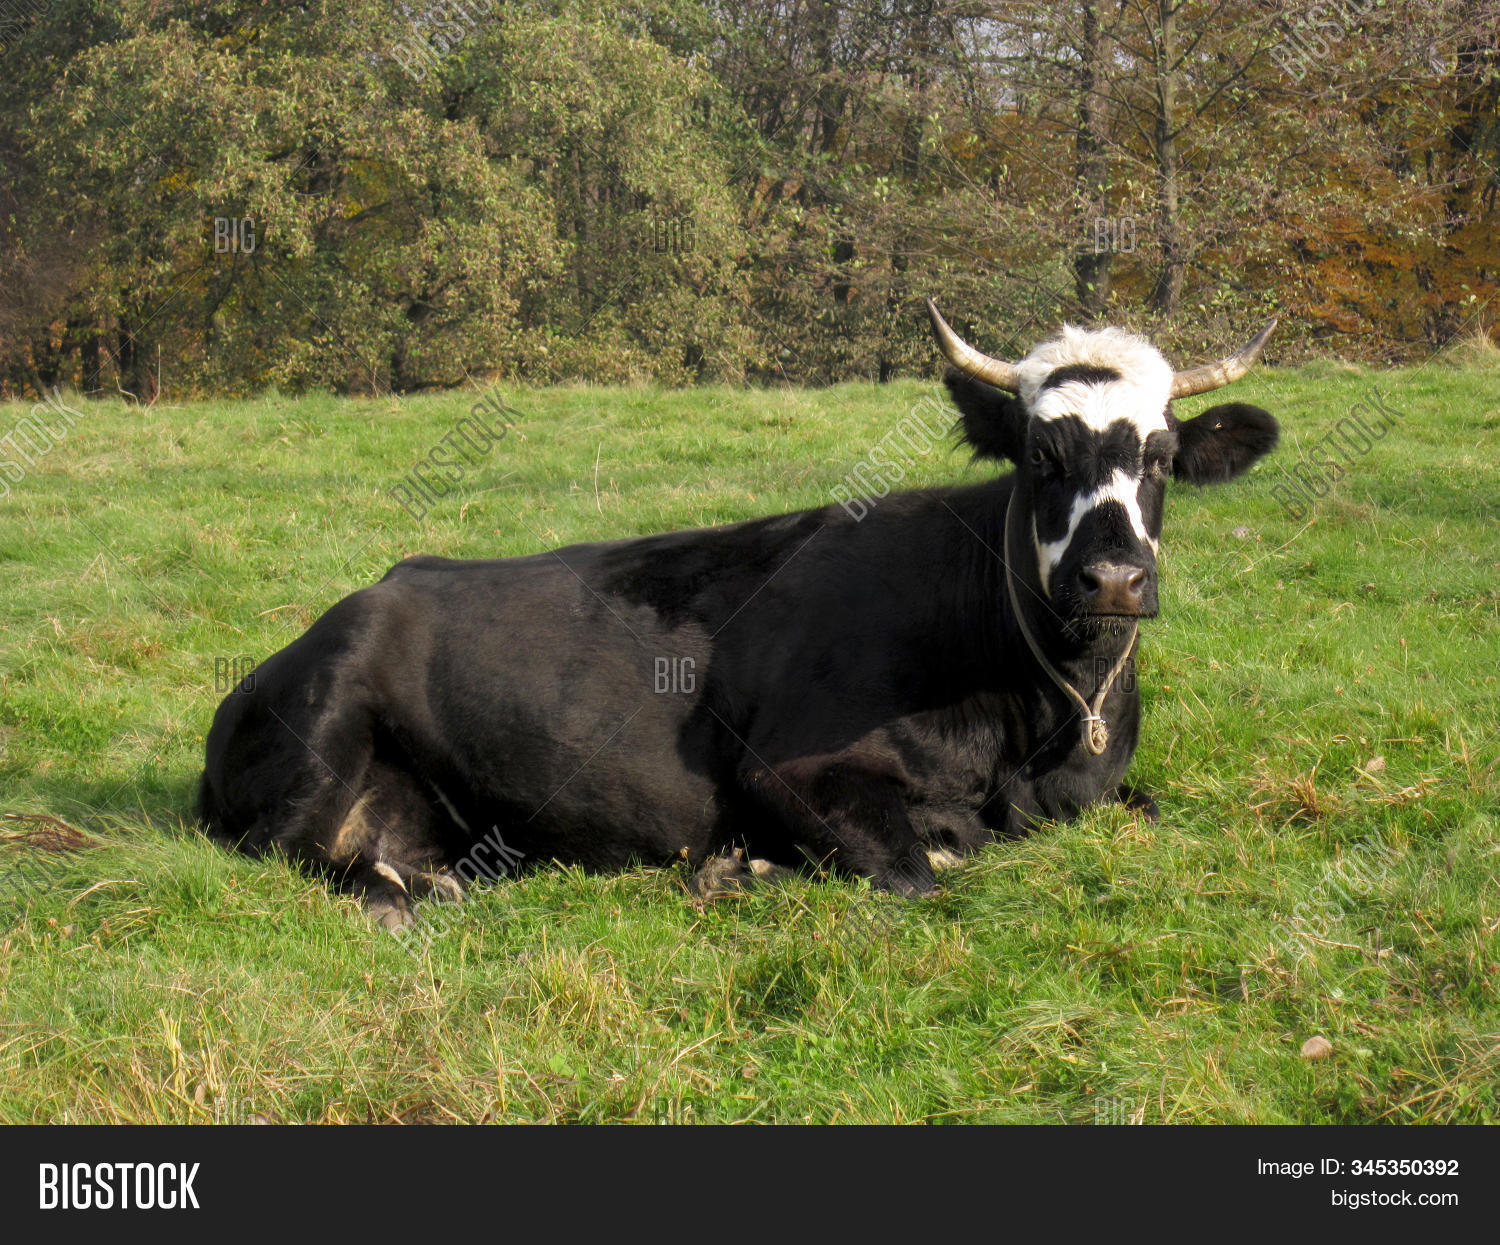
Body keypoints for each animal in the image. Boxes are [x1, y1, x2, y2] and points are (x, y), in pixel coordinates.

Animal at [197, 303, 1279, 929]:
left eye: (1161, 457)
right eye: (1039, 456)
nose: (1113, 579)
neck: (1046, 720)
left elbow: (1143, 814)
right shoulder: (790, 772)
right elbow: (918, 876)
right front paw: (744, 873)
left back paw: (427, 880)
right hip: (322, 737)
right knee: (285, 856)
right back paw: (400, 895)